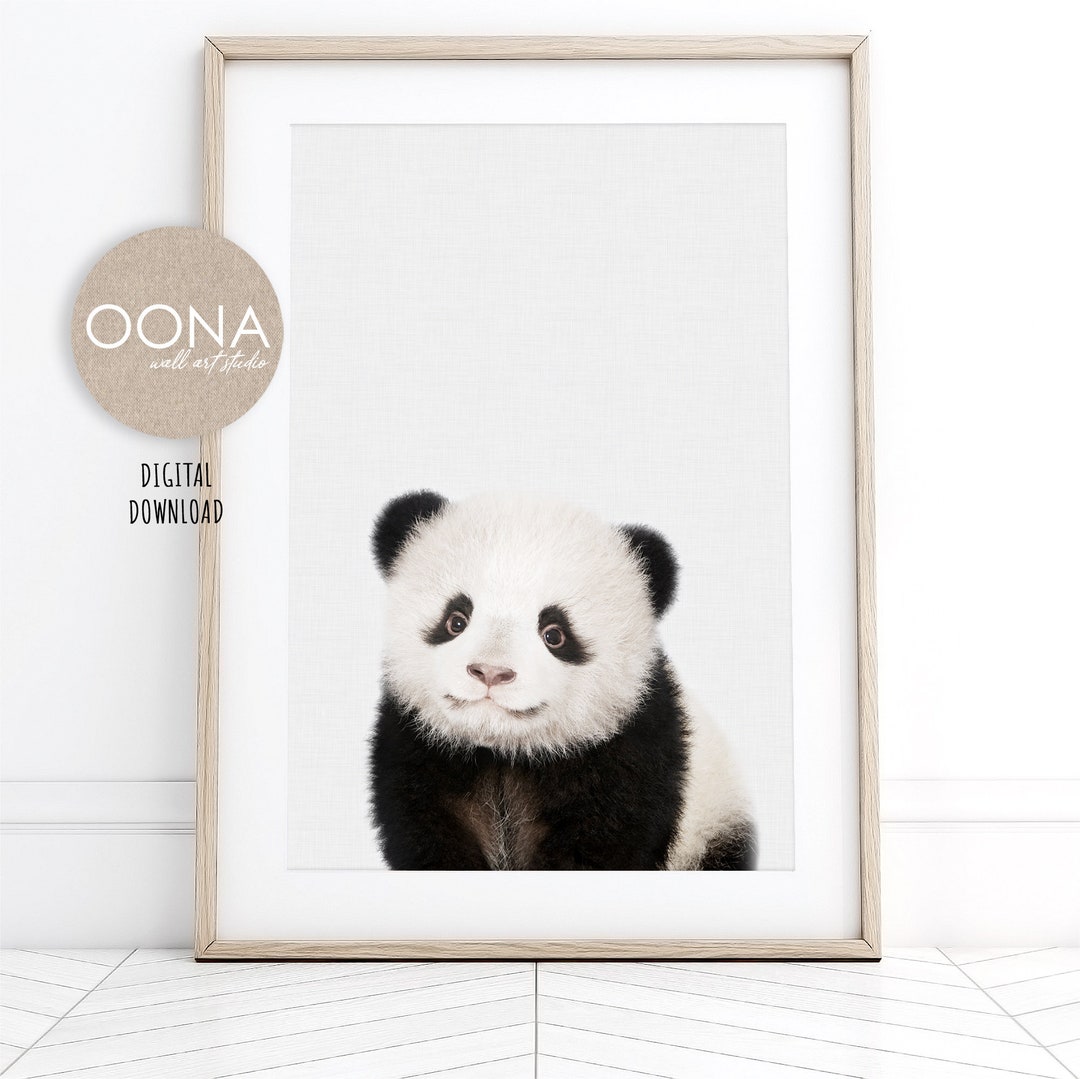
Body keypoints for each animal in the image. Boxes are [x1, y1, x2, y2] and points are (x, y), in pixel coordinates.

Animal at [368, 490, 756, 871]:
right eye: (456, 621)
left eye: (554, 634)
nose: (491, 672)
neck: (505, 752)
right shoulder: (417, 748)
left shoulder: (632, 753)